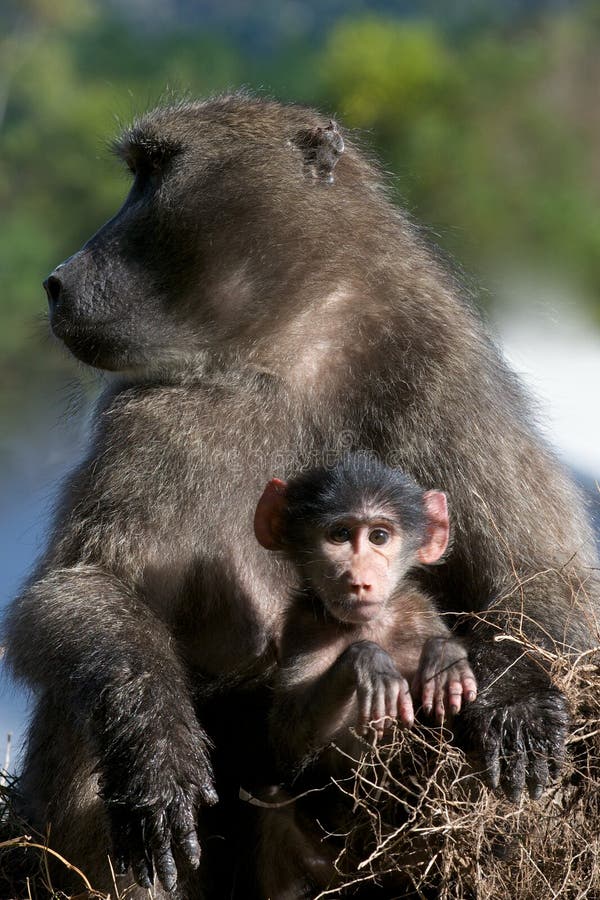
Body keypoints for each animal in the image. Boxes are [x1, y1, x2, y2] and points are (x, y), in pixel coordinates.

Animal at [251, 455, 477, 898]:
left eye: (379, 536)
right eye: (339, 535)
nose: (359, 579)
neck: (368, 625)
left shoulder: (418, 612)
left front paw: (446, 658)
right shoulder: (304, 630)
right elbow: (286, 746)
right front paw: (369, 661)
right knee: (274, 811)